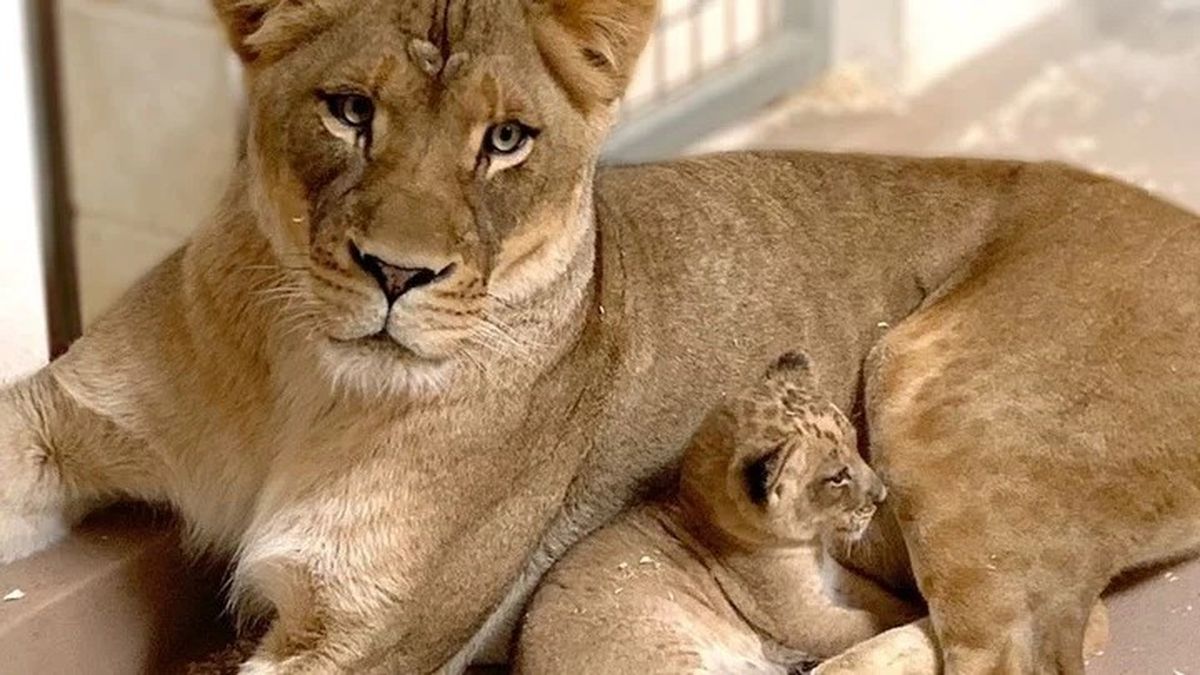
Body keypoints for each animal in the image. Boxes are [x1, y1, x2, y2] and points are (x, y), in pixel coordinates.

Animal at [515, 351, 920, 675]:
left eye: (855, 441)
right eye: (837, 478)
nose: (882, 495)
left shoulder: (832, 578)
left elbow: (878, 598)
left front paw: (910, 600)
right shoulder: (803, 618)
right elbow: (869, 623)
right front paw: (917, 616)